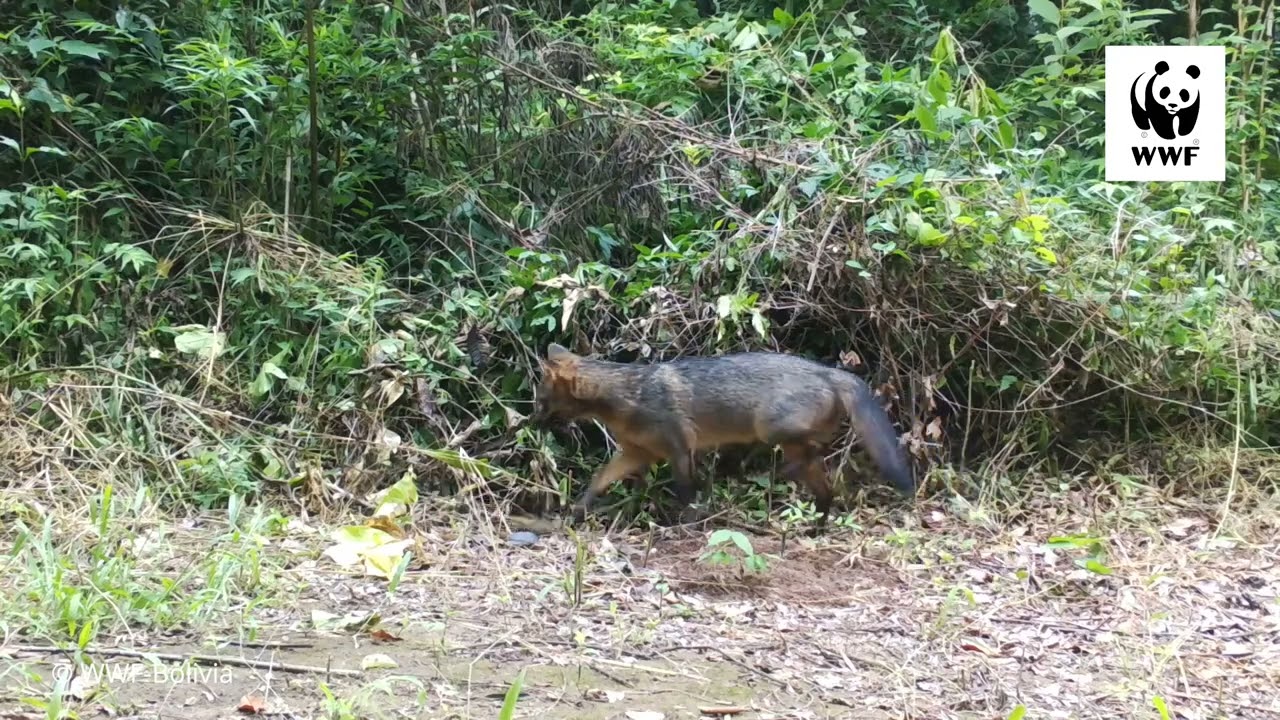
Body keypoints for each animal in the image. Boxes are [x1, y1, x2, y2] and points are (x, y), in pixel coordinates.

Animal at [530, 343, 915, 529]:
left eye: (540, 402)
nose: (529, 422)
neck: (628, 395)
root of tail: (829, 371)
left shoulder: (679, 448)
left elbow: (685, 492)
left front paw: (685, 526)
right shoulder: (636, 454)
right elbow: (597, 481)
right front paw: (576, 512)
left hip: (769, 428)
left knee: (815, 455)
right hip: (786, 441)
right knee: (825, 484)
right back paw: (815, 528)